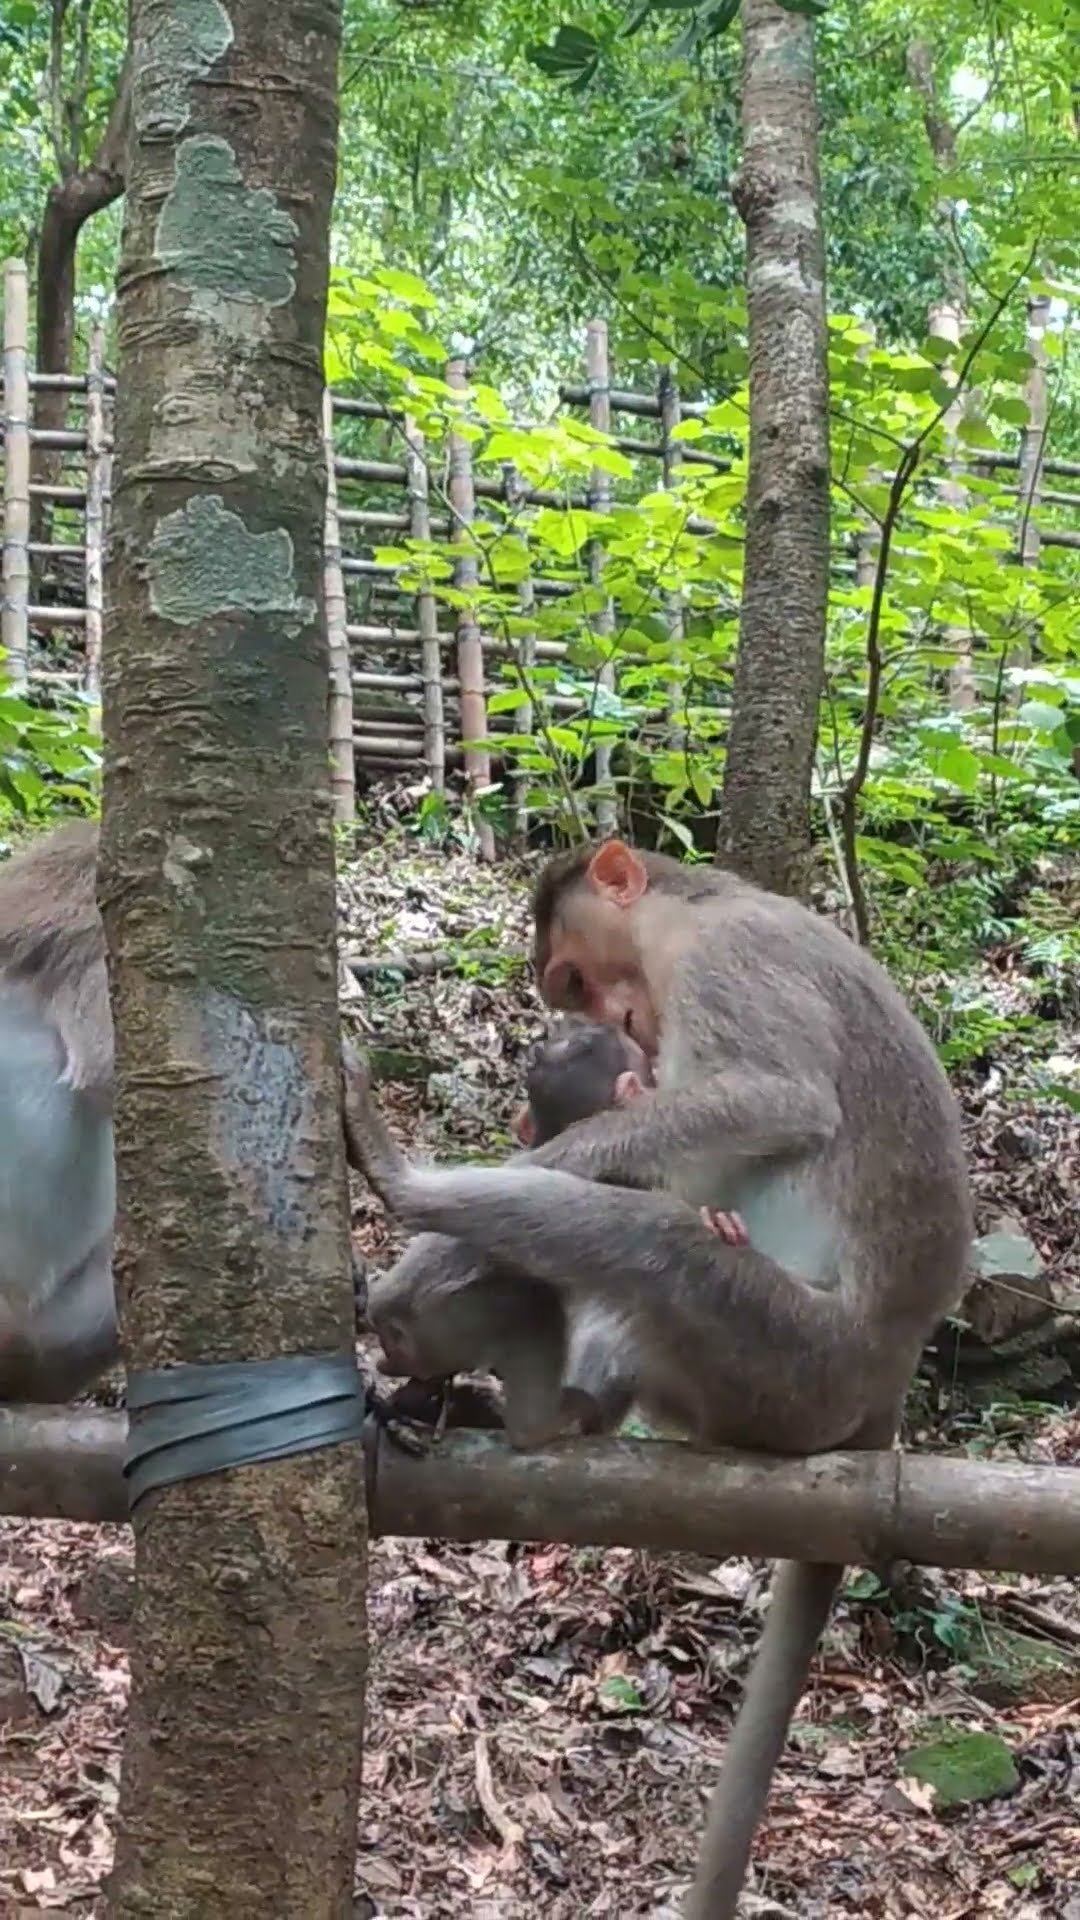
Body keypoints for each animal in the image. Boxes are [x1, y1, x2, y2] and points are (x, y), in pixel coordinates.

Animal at [343, 838, 973, 1920]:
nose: (615, 1025)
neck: (700, 912)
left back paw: (415, 1204)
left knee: (656, 1242)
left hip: (789, 1360)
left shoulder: (728, 964)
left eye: (571, 978)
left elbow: (774, 1101)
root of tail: (887, 1376)